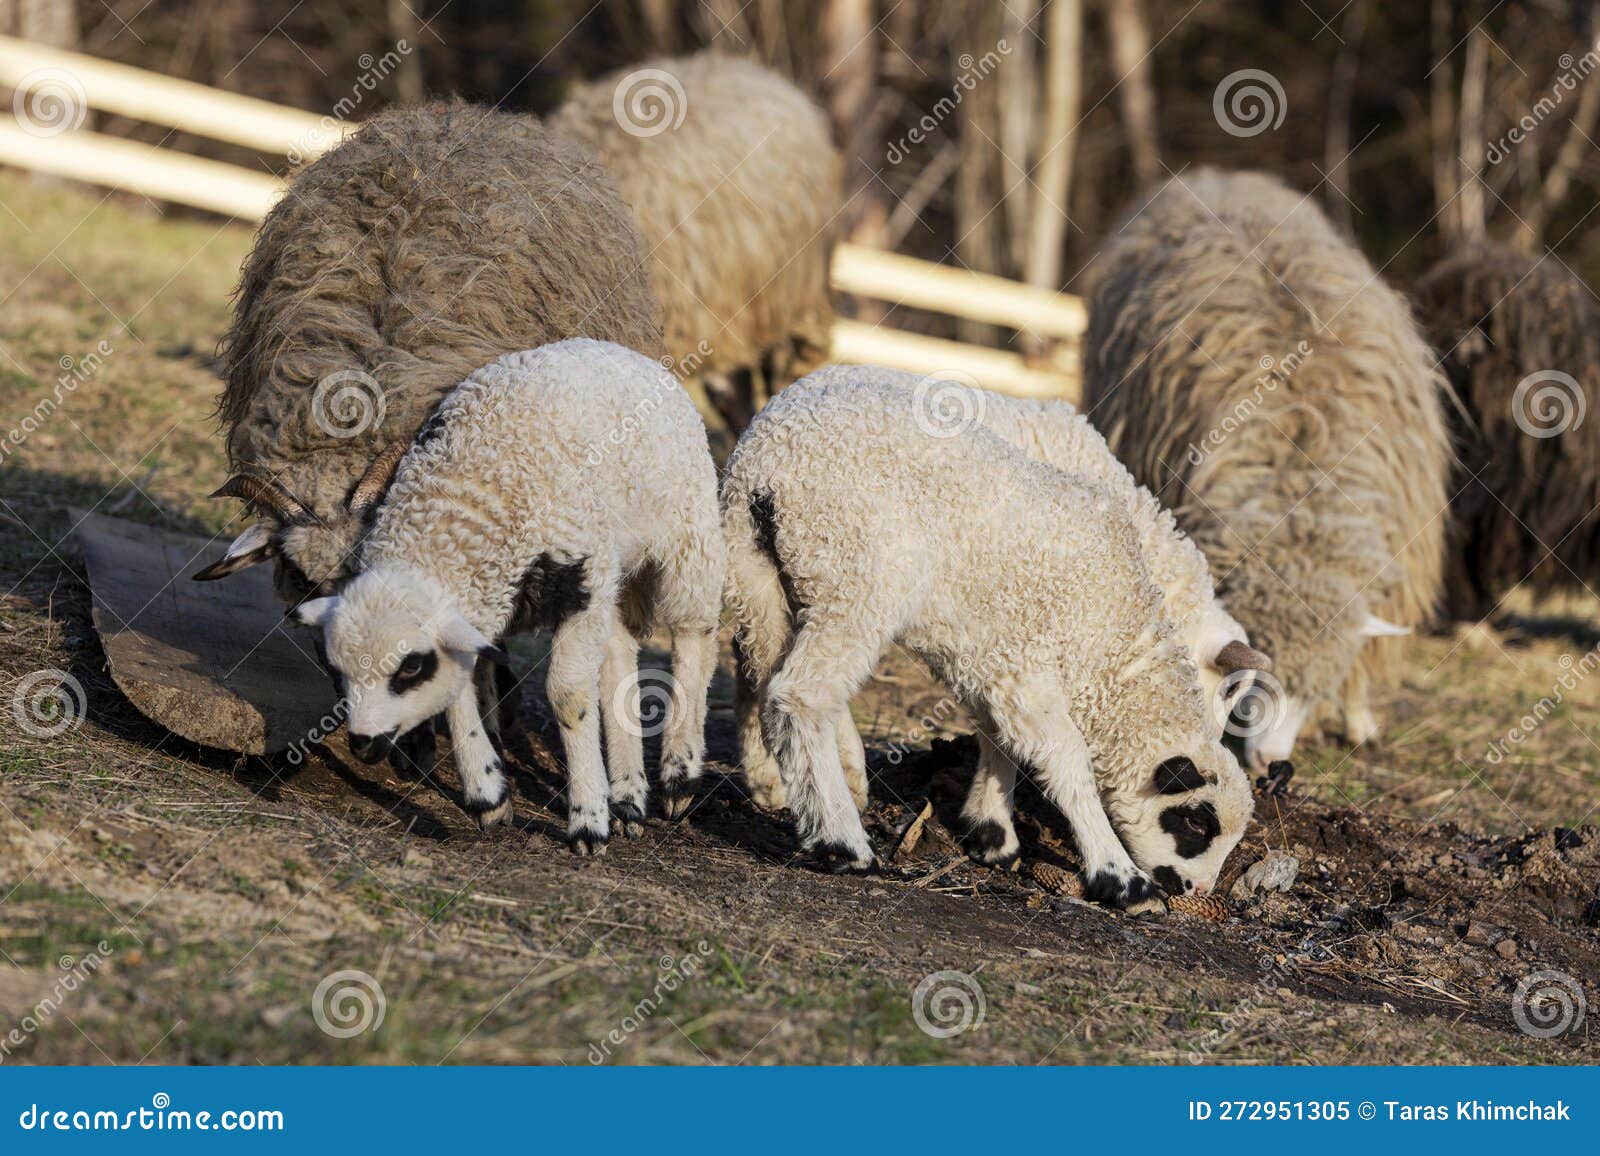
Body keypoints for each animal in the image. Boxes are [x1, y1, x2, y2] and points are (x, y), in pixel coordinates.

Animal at [291, 340, 724, 852]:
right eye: (335, 668)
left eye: (410, 667)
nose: (363, 744)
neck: (464, 499)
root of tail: (616, 349)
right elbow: (463, 688)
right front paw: (488, 795)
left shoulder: (582, 577)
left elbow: (568, 696)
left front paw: (587, 821)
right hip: (618, 563)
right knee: (620, 653)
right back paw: (628, 797)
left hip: (688, 531)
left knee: (694, 635)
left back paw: (679, 776)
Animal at [723, 371, 1255, 909]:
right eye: (1196, 822)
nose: (1198, 889)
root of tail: (767, 458)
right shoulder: (1022, 663)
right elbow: (1065, 760)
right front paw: (1120, 878)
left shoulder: (989, 659)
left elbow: (999, 736)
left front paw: (991, 832)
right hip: (856, 577)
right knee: (802, 694)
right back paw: (841, 842)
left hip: (761, 574)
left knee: (760, 670)